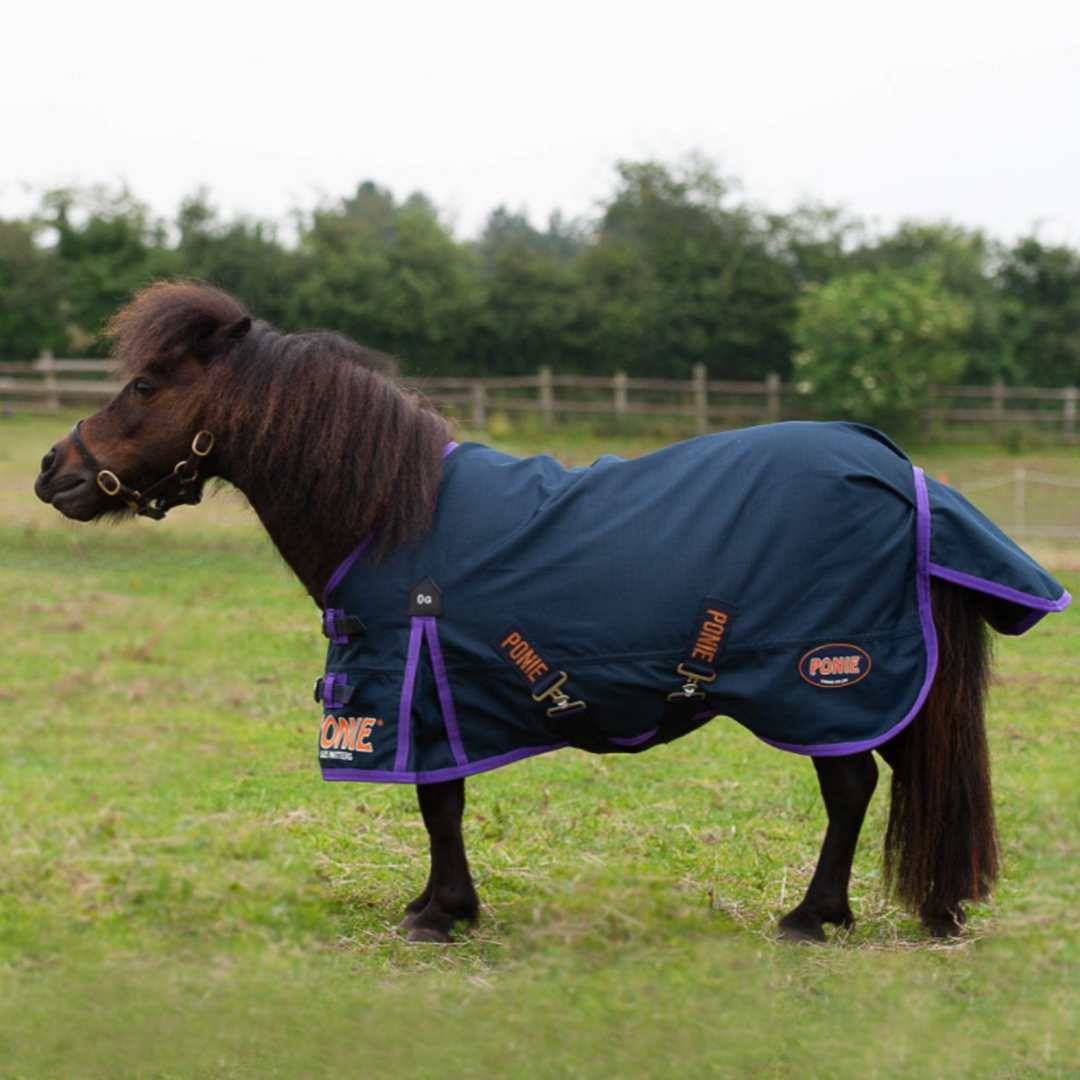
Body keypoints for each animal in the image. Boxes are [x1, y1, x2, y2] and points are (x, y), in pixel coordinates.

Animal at [34, 281, 1070, 944]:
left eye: (145, 385)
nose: (53, 470)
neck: (390, 510)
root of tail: (900, 470)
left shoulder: (418, 688)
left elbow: (437, 801)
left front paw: (439, 913)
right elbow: (442, 802)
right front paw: (443, 906)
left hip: (827, 684)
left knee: (853, 787)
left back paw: (816, 918)